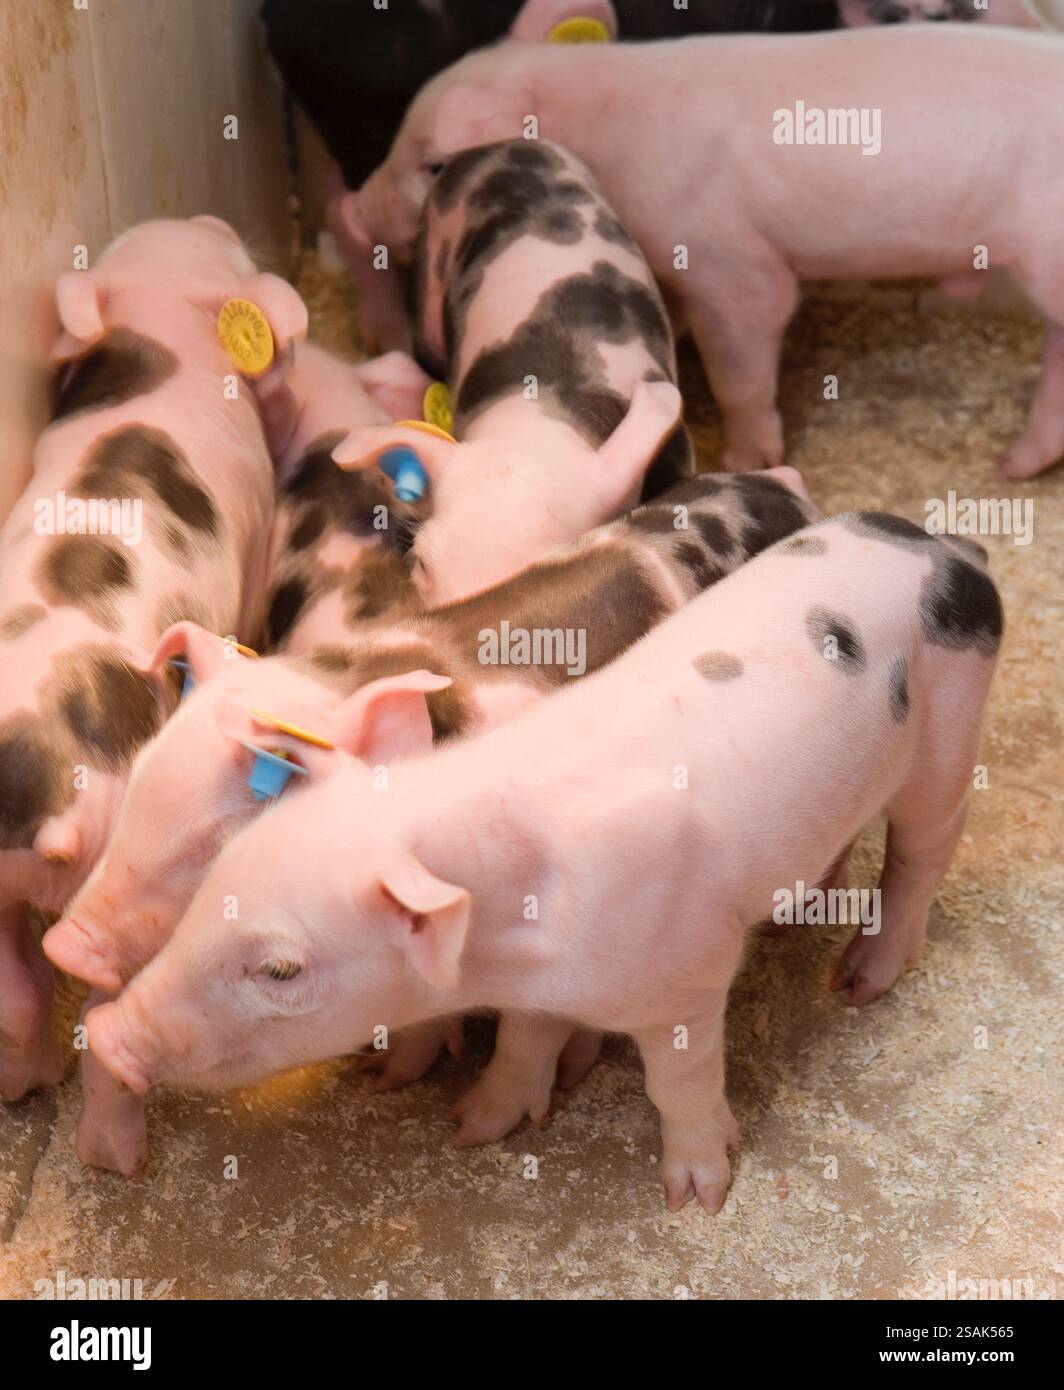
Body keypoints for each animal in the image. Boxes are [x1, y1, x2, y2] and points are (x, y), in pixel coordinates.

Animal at [0, 216, 306, 1169]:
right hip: (119, 866)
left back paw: (25, 1088)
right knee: (103, 1006)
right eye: (230, 262)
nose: (210, 222)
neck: (162, 338)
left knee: (20, 989)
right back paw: (113, 1157)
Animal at [84, 511, 1002, 1211]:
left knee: (923, 851)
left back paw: (859, 982)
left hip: (950, 735)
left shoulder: (691, 975)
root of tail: (950, 550)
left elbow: (680, 1080)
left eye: (281, 969)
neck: (508, 935)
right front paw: (473, 1126)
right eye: (218, 881)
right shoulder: (540, 984)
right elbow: (525, 1041)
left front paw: (696, 1198)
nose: (108, 1029)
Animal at [346, 0, 1064, 478]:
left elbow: (742, 369)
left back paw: (1007, 466)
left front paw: (751, 460)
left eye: (432, 165)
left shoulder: (731, 261)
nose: (352, 211)